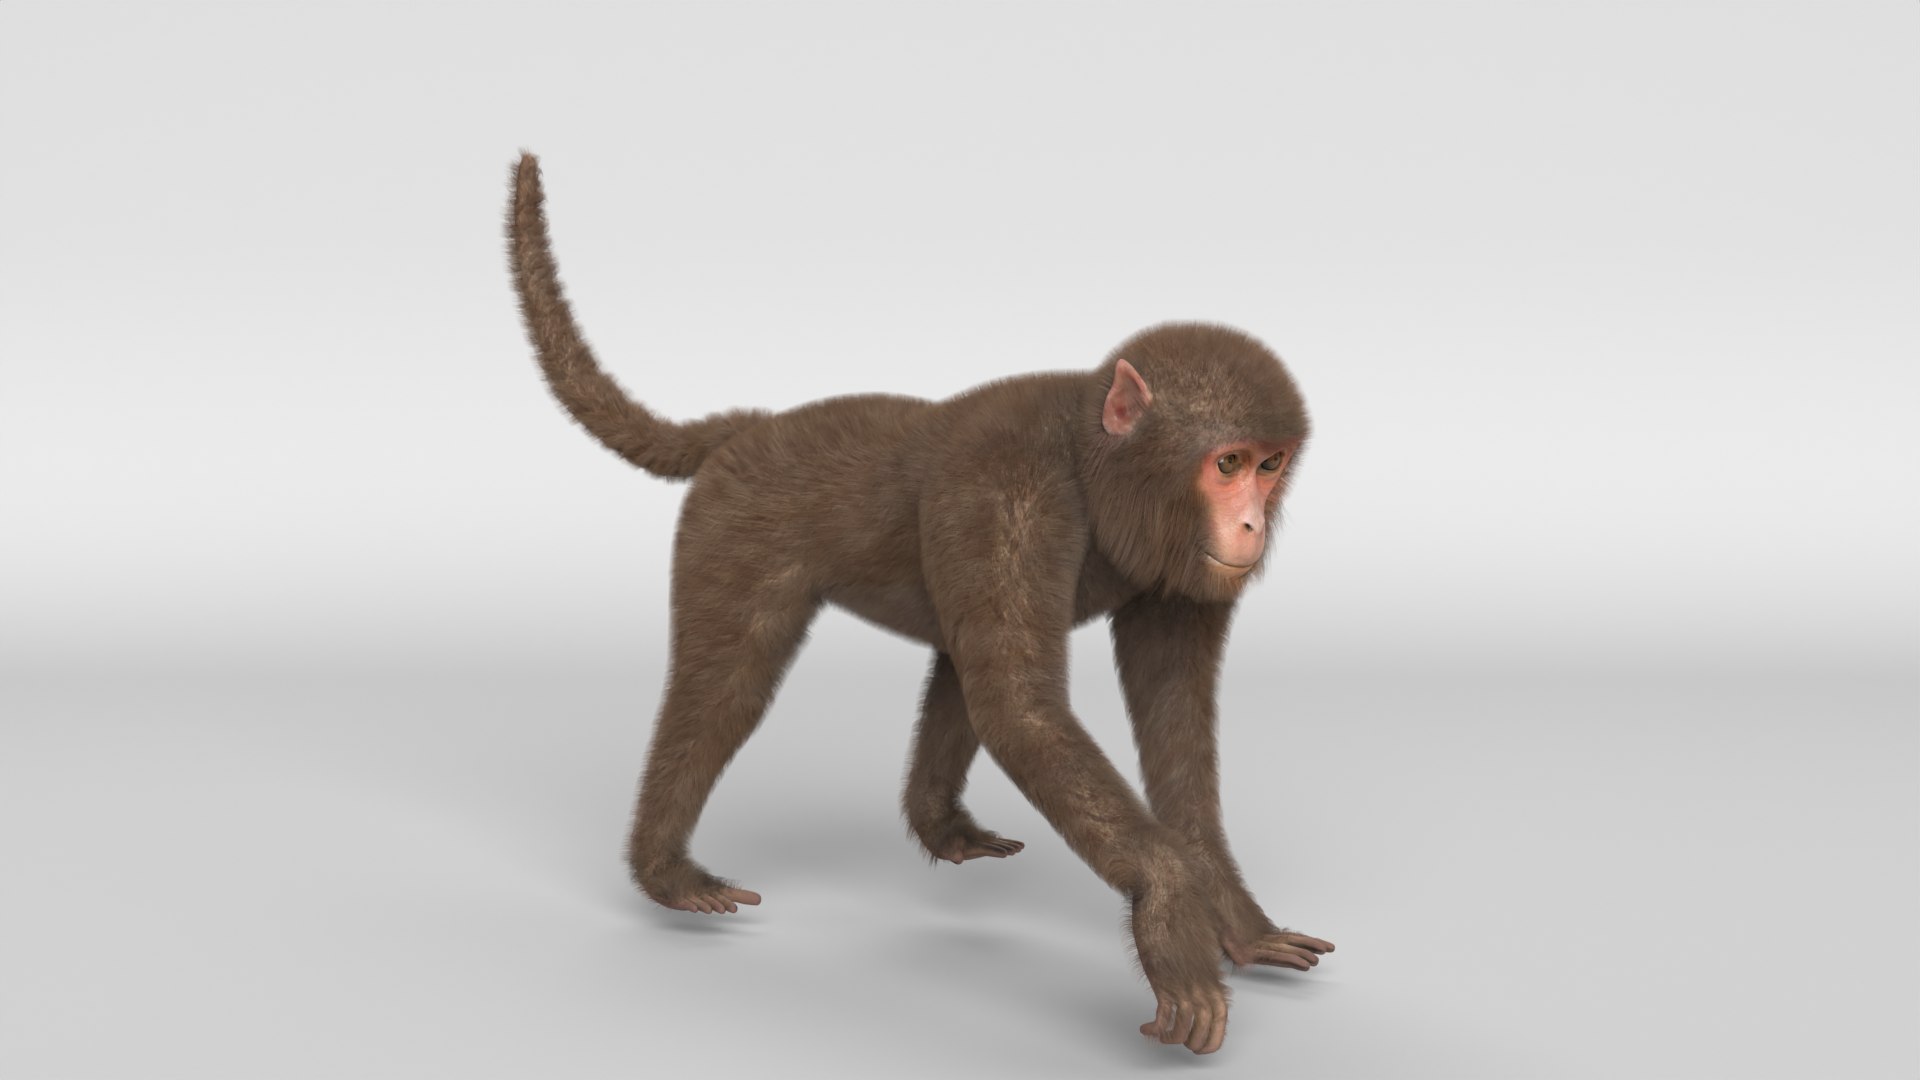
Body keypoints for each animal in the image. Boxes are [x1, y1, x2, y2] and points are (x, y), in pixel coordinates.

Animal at [506, 153, 1334, 1055]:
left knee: (955, 664)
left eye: (1271, 464)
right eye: (1227, 464)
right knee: (729, 684)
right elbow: (1022, 709)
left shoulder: (1181, 571)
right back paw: (665, 874)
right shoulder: (1006, 494)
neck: (1090, 463)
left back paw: (939, 827)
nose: (1251, 523)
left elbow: (1168, 735)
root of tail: (750, 430)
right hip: (731, 525)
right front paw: (1171, 913)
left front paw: (1236, 922)